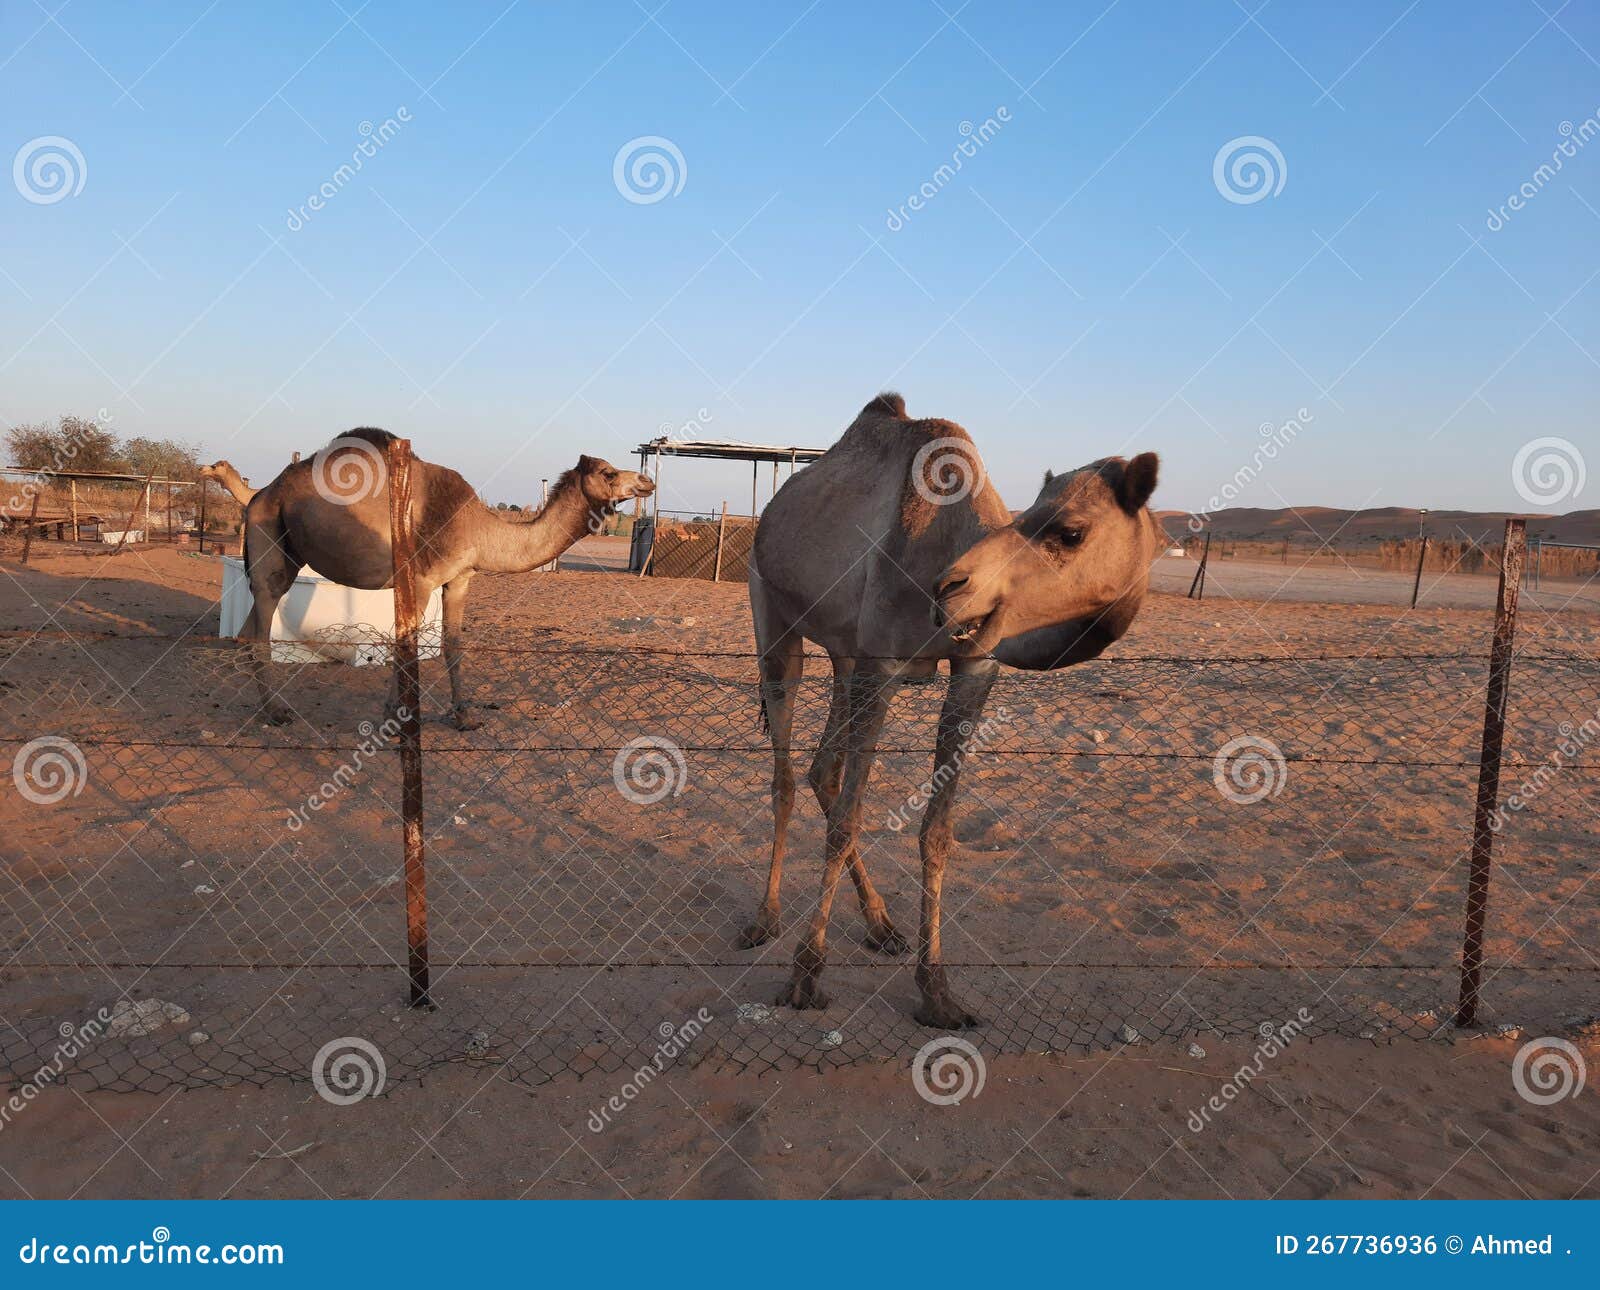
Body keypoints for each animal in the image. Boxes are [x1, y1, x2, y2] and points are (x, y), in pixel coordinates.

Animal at [239, 428, 653, 728]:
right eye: (608, 472)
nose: (646, 481)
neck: (479, 527)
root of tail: (260, 494)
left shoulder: (460, 578)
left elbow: (453, 645)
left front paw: (464, 717)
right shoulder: (420, 580)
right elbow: (405, 645)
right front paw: (394, 718)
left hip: (289, 550)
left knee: (249, 627)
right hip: (267, 531)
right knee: (262, 616)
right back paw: (275, 712)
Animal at [745, 393, 1160, 1028]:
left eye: (1070, 532)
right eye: (1035, 517)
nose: (953, 587)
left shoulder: (975, 667)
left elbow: (937, 831)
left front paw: (937, 993)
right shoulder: (883, 662)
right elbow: (847, 821)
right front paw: (805, 975)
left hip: (844, 652)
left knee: (823, 769)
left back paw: (881, 924)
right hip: (772, 611)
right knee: (786, 775)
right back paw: (764, 918)